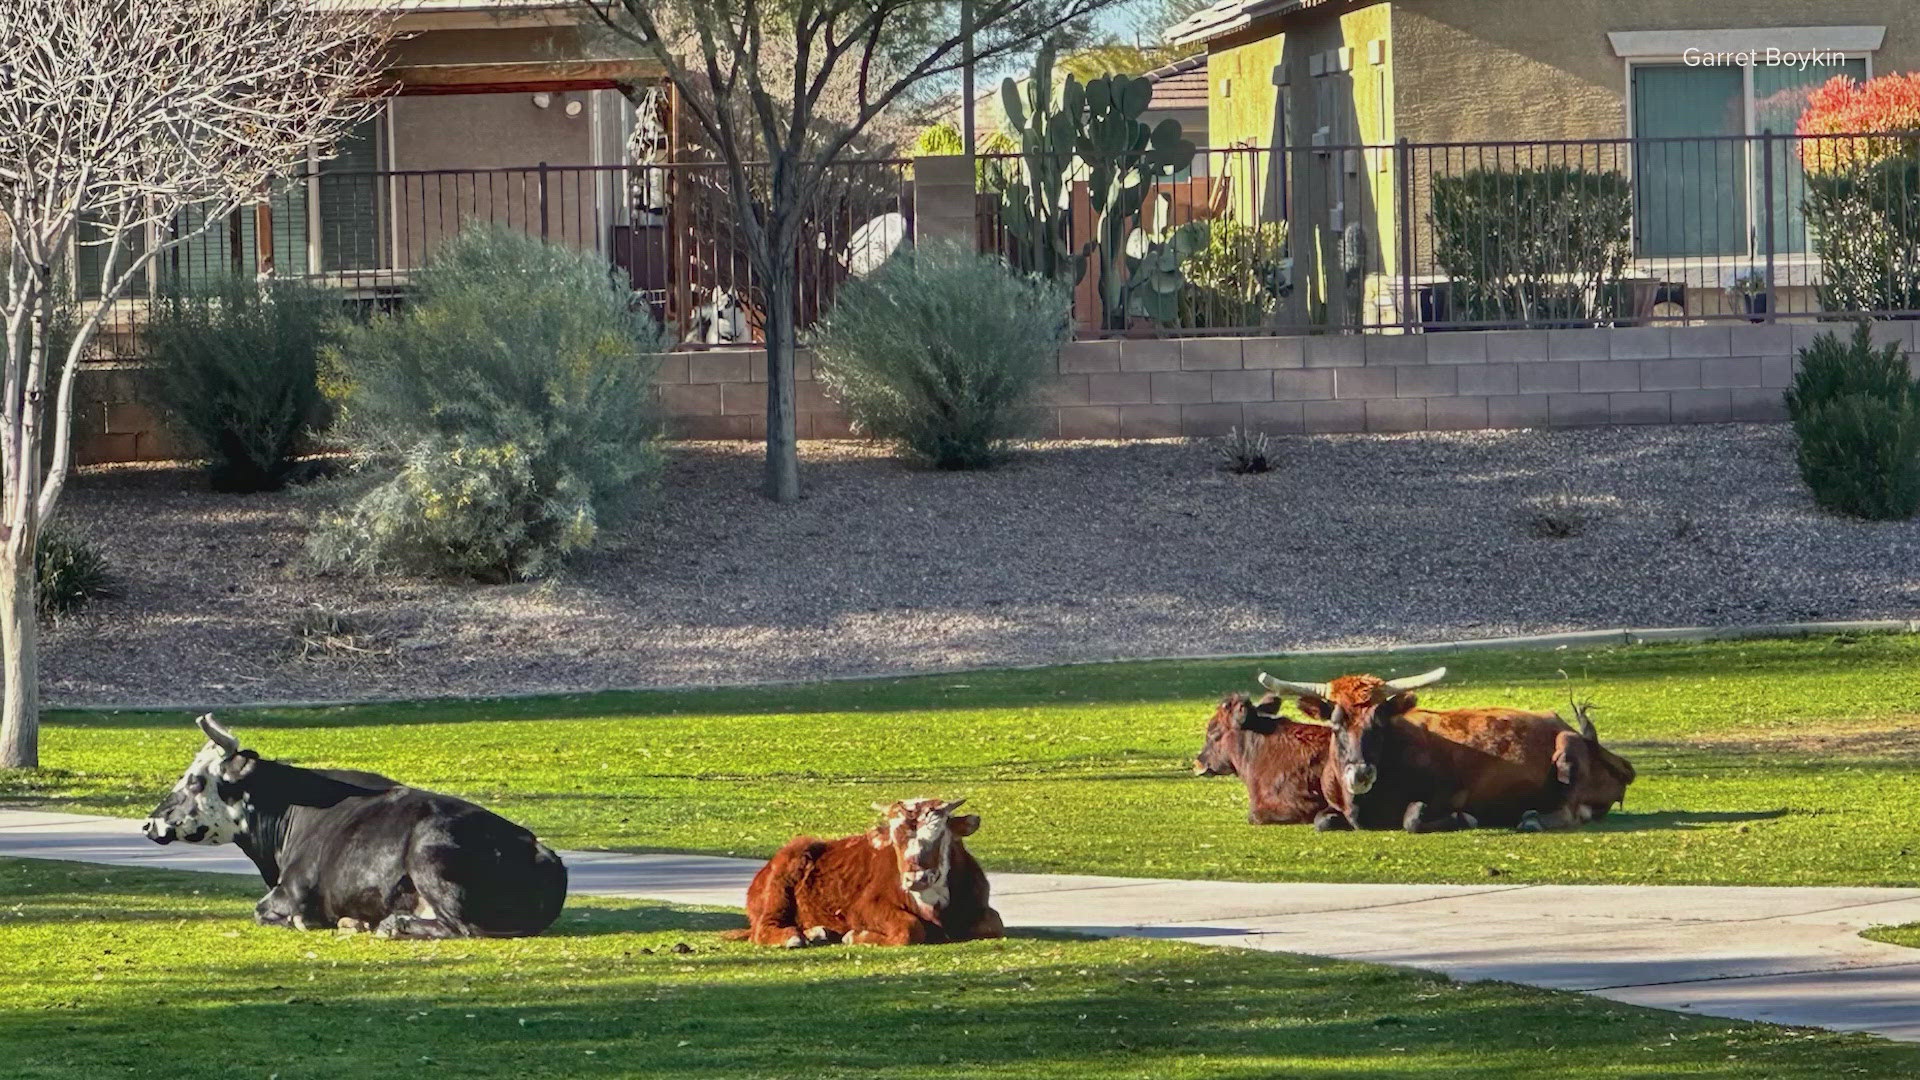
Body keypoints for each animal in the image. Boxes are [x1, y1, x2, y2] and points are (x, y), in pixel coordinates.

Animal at [144, 714, 567, 939]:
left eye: (195, 781)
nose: (150, 822)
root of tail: (540, 849)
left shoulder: (291, 892)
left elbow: (266, 911)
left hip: (428, 858)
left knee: (460, 928)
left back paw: (391, 925)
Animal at [726, 798, 1004, 948]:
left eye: (938, 834)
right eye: (895, 838)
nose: (915, 878)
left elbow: (994, 923)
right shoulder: (864, 906)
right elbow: (909, 928)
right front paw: (854, 936)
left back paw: (818, 932)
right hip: (780, 882)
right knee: (763, 929)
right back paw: (793, 937)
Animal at [1255, 668, 1636, 834]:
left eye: (1379, 722)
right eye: (1335, 722)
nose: (1361, 772)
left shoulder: (1452, 792)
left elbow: (1413, 817)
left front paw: (1463, 818)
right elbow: (1321, 821)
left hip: (1567, 750)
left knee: (1571, 811)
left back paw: (1532, 819)